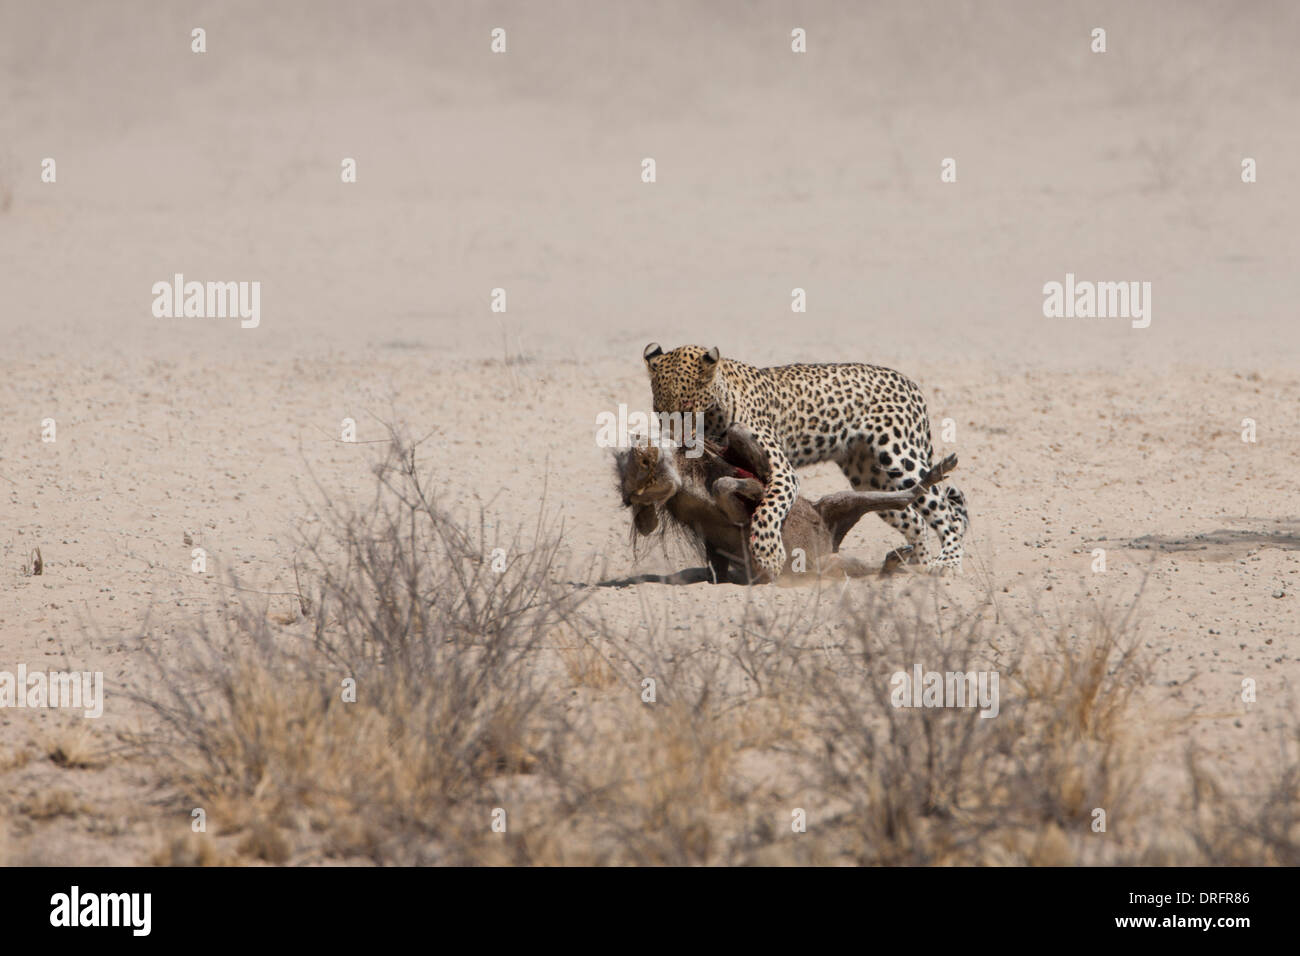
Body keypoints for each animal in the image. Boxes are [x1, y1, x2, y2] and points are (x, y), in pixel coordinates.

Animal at [642, 343, 969, 576]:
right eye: (659, 409)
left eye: (686, 406)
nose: (676, 439)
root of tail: (910, 383)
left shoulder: (781, 471)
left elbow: (768, 508)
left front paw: (769, 554)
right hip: (871, 477)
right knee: (916, 517)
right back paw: (918, 564)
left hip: (901, 456)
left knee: (947, 511)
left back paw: (948, 563)